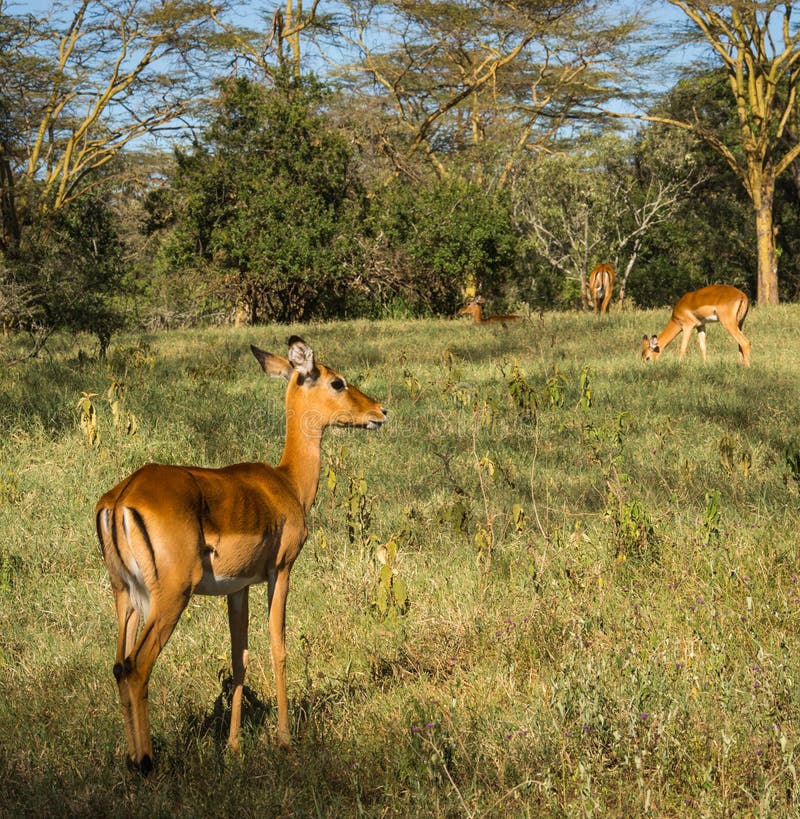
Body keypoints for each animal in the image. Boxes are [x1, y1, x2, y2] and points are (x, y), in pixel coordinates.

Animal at [95, 336, 387, 773]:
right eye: (337, 382)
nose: (380, 411)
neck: (287, 483)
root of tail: (122, 497)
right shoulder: (280, 571)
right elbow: (278, 648)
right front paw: (284, 740)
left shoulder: (238, 587)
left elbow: (238, 658)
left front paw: (233, 747)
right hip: (170, 597)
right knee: (136, 667)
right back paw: (146, 764)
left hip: (125, 596)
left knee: (118, 665)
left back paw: (132, 761)